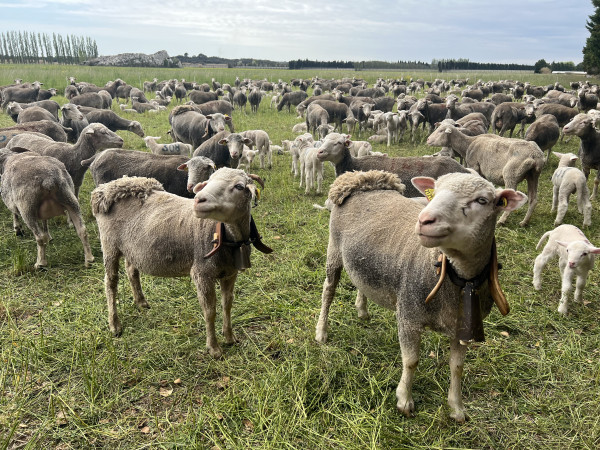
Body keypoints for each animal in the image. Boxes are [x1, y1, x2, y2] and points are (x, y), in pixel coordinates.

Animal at [91, 169, 272, 358]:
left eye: (239, 186)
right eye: (208, 181)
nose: (198, 199)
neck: (224, 234)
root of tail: (105, 190)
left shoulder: (230, 273)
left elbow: (227, 305)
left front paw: (230, 337)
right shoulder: (202, 274)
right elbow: (210, 312)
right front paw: (214, 348)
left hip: (132, 248)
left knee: (132, 270)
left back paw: (141, 302)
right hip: (109, 245)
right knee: (111, 283)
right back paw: (114, 324)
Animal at [316, 169, 528, 422]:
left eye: (482, 200)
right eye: (433, 192)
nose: (424, 220)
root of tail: (359, 179)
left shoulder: (462, 327)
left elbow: (457, 367)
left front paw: (457, 408)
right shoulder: (408, 316)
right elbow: (411, 361)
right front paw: (404, 400)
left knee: (360, 280)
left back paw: (362, 310)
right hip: (333, 249)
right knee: (328, 291)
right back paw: (321, 332)